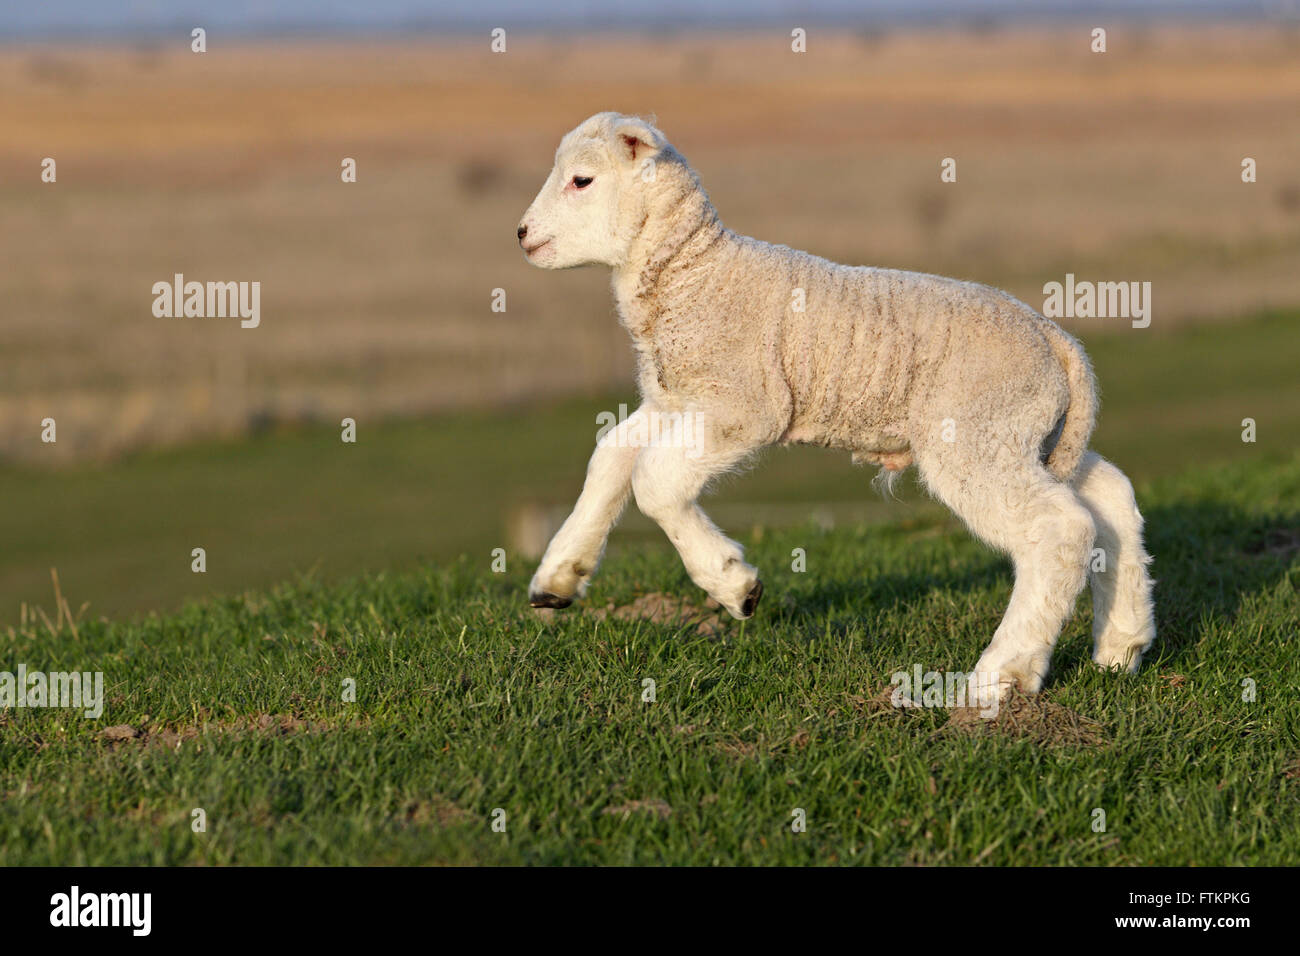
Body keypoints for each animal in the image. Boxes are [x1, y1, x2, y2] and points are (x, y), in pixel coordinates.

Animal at [516, 112, 1155, 699]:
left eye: (581, 180)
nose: (521, 234)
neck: (694, 275)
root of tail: (1057, 340)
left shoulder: (744, 403)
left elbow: (653, 481)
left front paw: (735, 585)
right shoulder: (676, 398)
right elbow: (612, 455)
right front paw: (558, 581)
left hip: (977, 434)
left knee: (1060, 528)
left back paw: (1002, 675)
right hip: (1032, 435)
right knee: (1109, 497)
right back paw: (1121, 645)